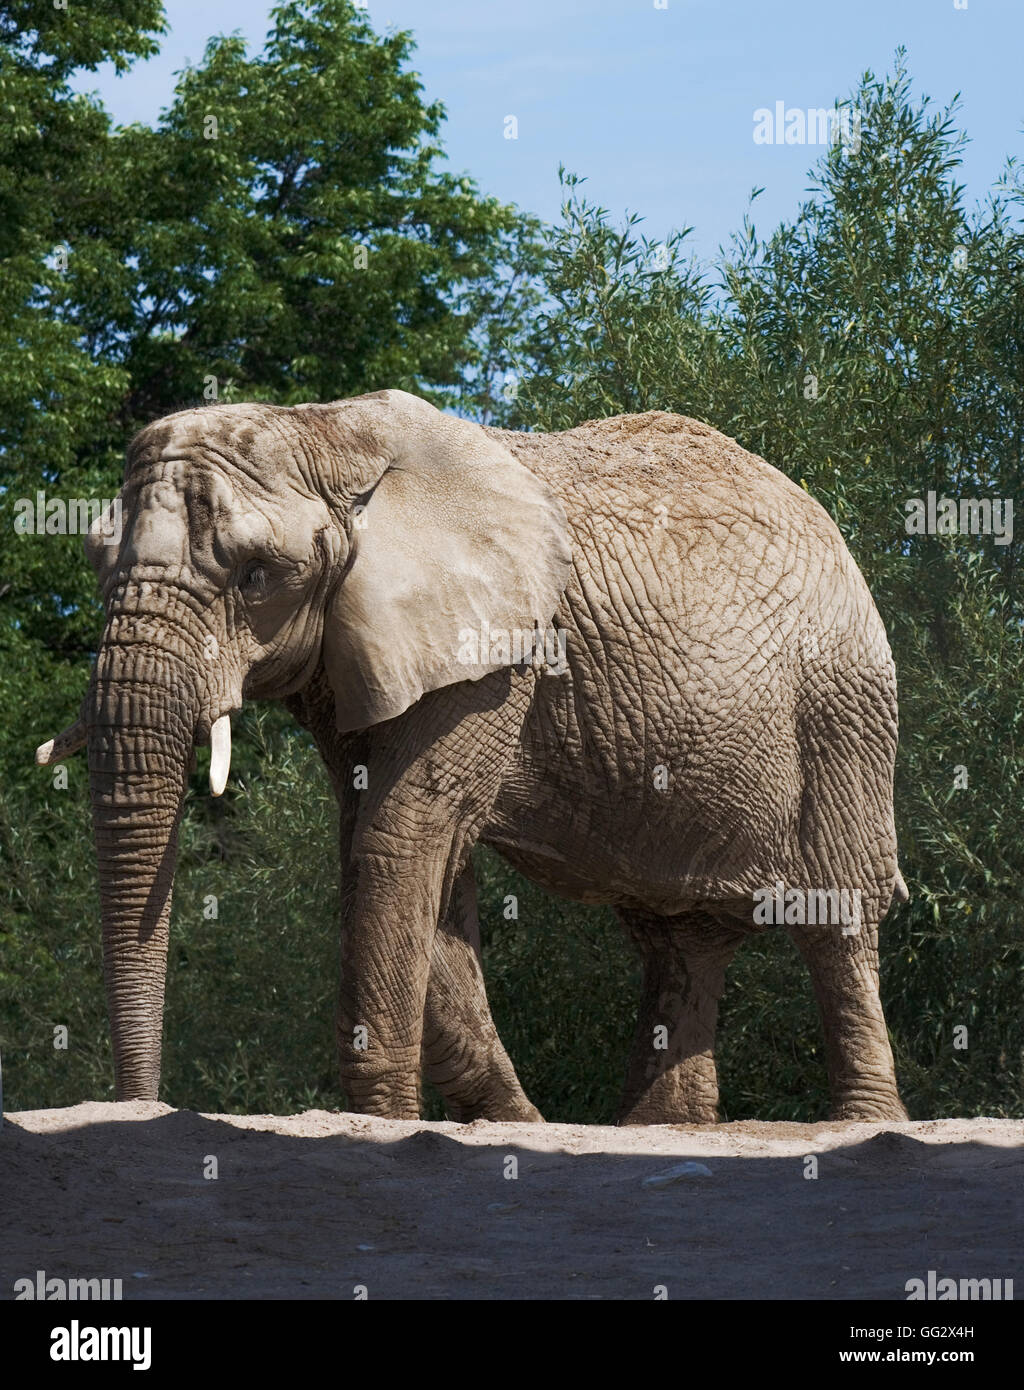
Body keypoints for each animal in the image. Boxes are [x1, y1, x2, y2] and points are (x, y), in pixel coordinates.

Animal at [38, 389, 908, 1124]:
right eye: (94, 560)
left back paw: (863, 1121)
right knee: (679, 937)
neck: (326, 429)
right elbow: (396, 853)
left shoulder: (496, 655)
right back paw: (664, 1128)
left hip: (843, 706)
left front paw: (385, 1122)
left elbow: (401, 836)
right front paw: (512, 1122)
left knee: (836, 911)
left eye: (257, 575)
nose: (141, 1107)